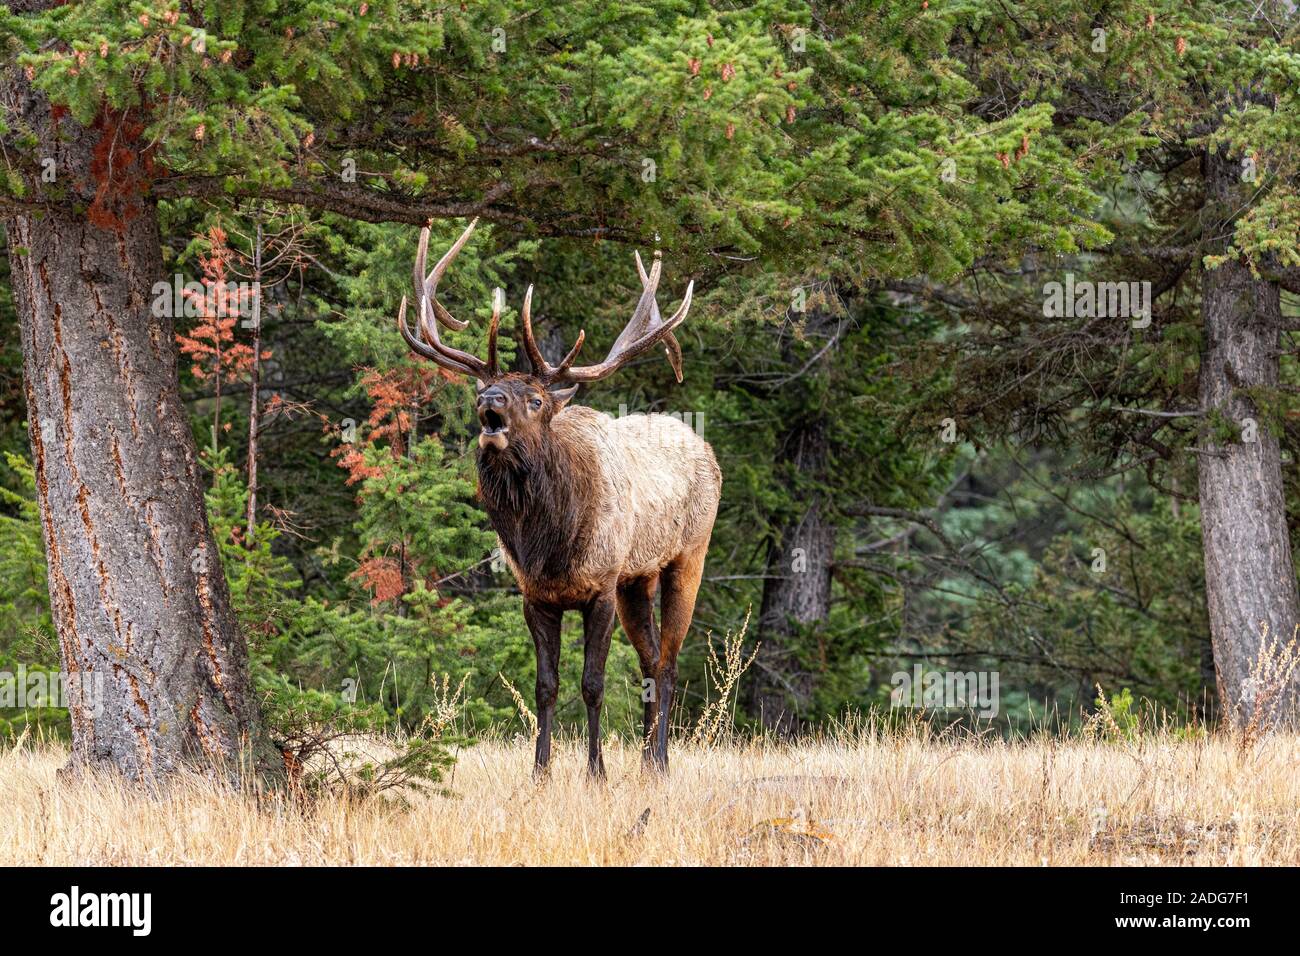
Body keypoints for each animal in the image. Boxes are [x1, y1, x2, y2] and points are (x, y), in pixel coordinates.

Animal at [396, 219, 721, 777]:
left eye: (535, 399)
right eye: (480, 389)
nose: (489, 401)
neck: (549, 543)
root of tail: (703, 445)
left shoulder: (601, 586)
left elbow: (592, 685)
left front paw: (595, 772)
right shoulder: (537, 595)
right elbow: (544, 687)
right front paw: (541, 771)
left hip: (686, 556)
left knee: (669, 660)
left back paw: (658, 761)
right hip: (637, 578)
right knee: (649, 658)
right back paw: (643, 758)